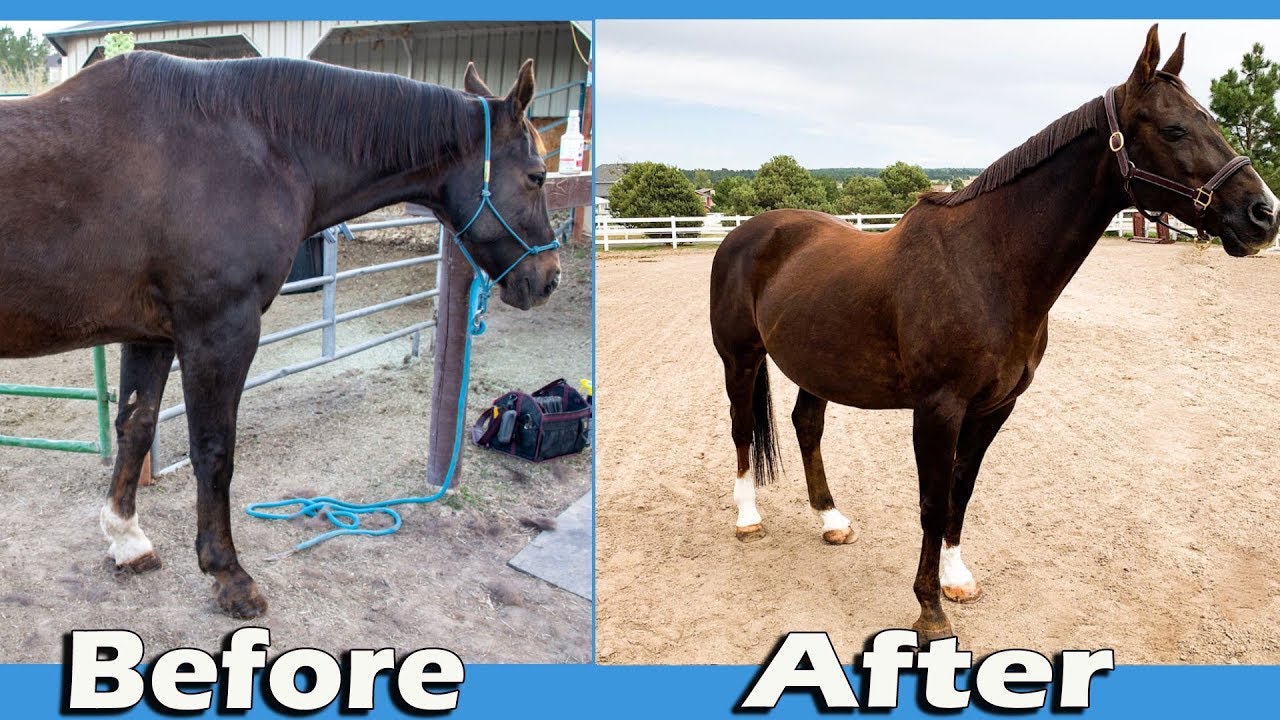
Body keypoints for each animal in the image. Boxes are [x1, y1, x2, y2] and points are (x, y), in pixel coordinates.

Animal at [0, 51, 561, 618]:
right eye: (537, 176)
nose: (549, 277)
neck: (252, 148)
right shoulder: (219, 332)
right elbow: (213, 450)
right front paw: (229, 576)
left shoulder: (152, 336)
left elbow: (136, 427)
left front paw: (127, 540)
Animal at [710, 25, 1279, 641]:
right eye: (1175, 128)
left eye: (1211, 120)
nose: (1264, 215)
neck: (986, 265)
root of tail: (745, 233)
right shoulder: (938, 409)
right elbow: (933, 501)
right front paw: (929, 610)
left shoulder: (995, 407)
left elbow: (962, 491)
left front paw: (956, 580)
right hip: (740, 360)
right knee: (742, 430)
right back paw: (748, 518)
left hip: (818, 366)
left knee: (806, 426)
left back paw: (831, 519)